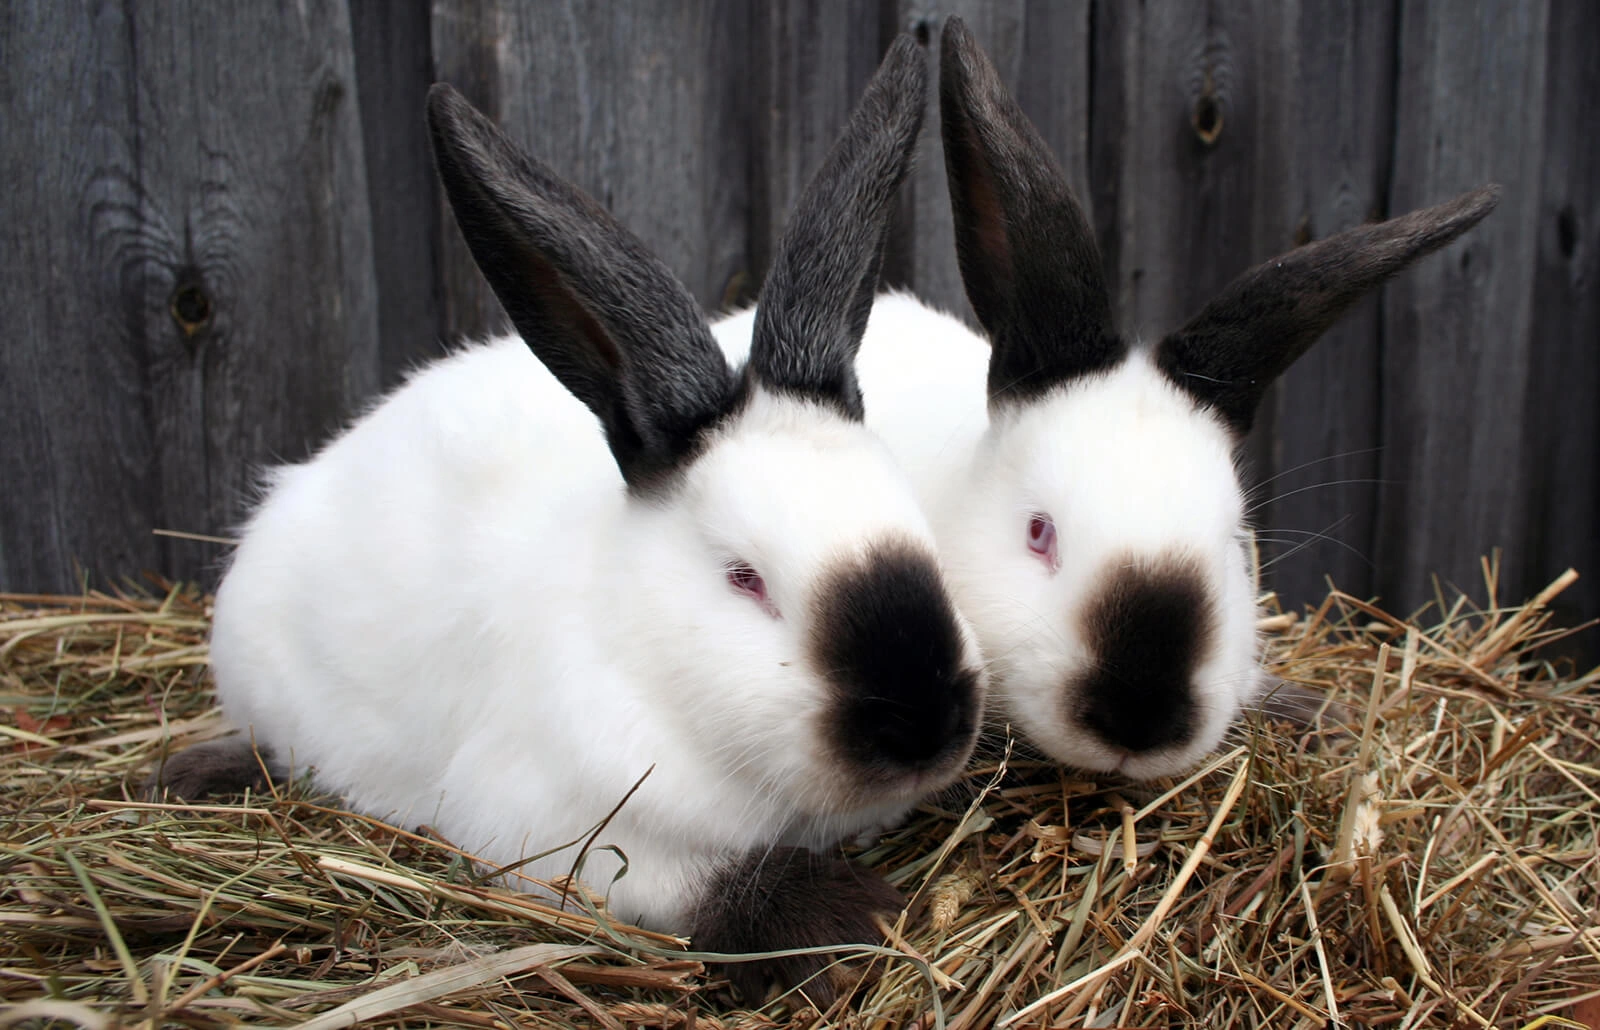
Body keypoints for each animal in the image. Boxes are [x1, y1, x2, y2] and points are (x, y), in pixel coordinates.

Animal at [150, 34, 986, 1004]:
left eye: (919, 529)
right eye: (745, 579)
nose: (926, 725)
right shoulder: (567, 829)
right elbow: (707, 884)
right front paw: (852, 921)